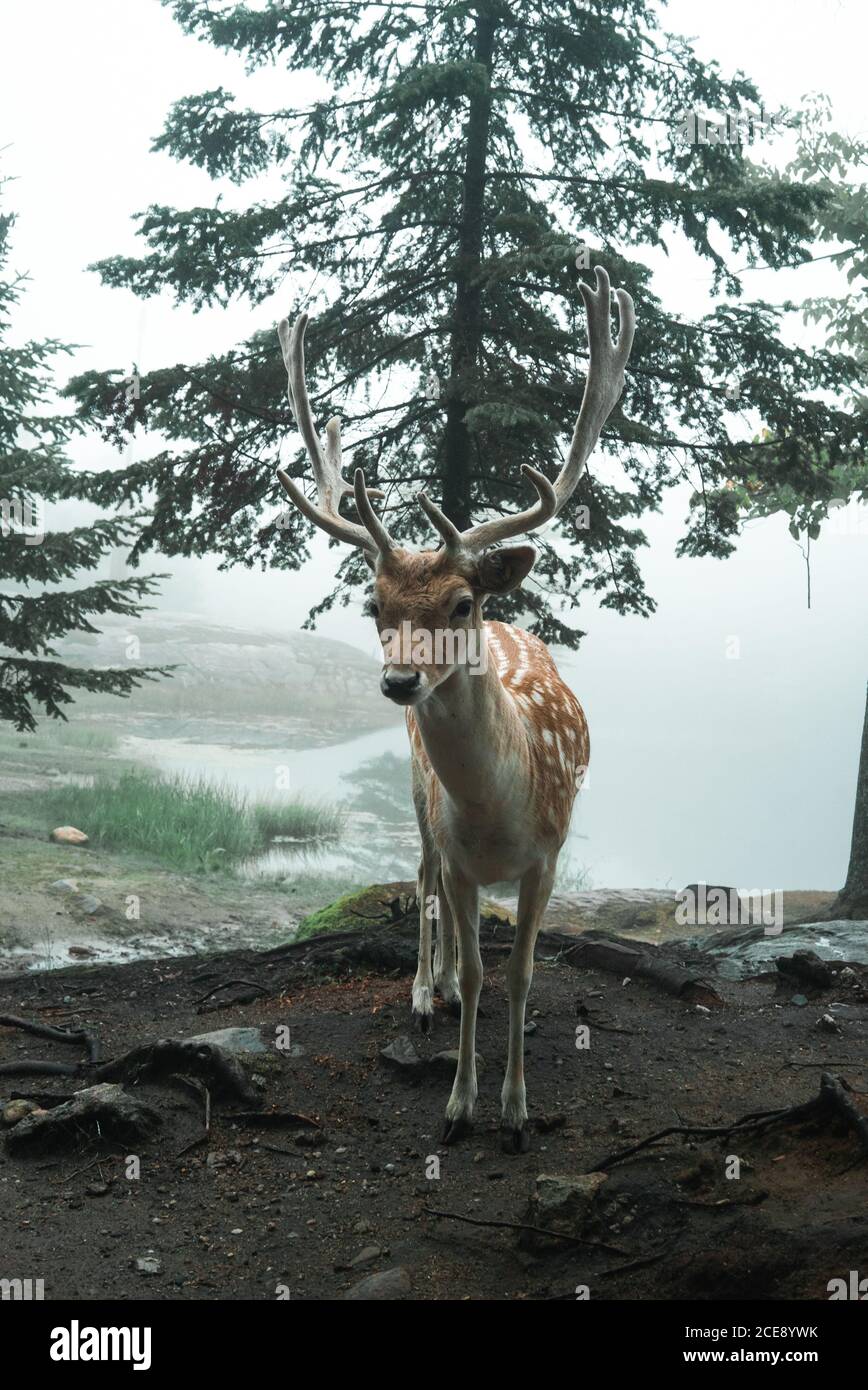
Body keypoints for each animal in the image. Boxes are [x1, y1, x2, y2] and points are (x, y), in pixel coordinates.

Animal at [276, 267, 635, 1152]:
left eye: (462, 603)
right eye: (373, 605)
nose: (402, 683)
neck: (498, 814)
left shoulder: (549, 854)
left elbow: (521, 972)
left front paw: (517, 1111)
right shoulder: (462, 849)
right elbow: (475, 970)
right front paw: (460, 1106)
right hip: (414, 792)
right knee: (421, 872)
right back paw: (421, 990)